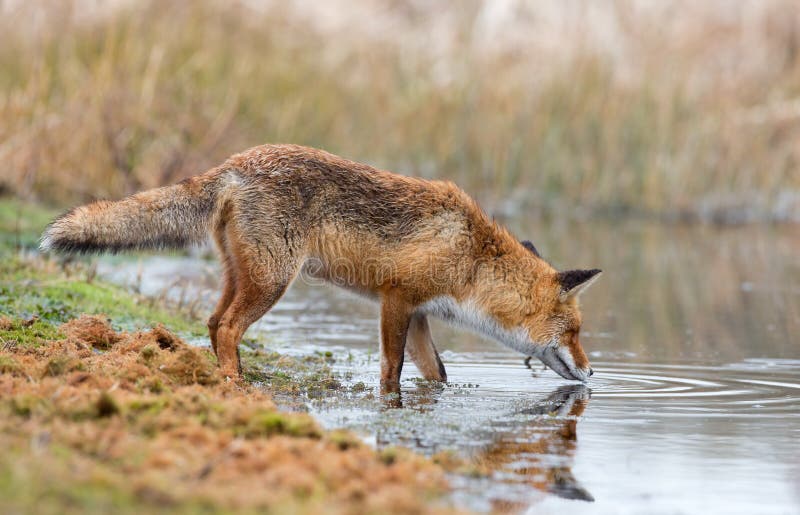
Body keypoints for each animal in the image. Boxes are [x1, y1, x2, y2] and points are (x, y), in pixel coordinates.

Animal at [40, 144, 601, 389]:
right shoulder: (396, 300)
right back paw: (236, 384)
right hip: (272, 282)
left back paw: (229, 374)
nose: (594, 372)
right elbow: (392, 371)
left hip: (243, 275)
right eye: (574, 332)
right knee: (227, 327)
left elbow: (436, 374)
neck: (471, 257)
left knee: (213, 322)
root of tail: (233, 163)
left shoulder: (420, 314)